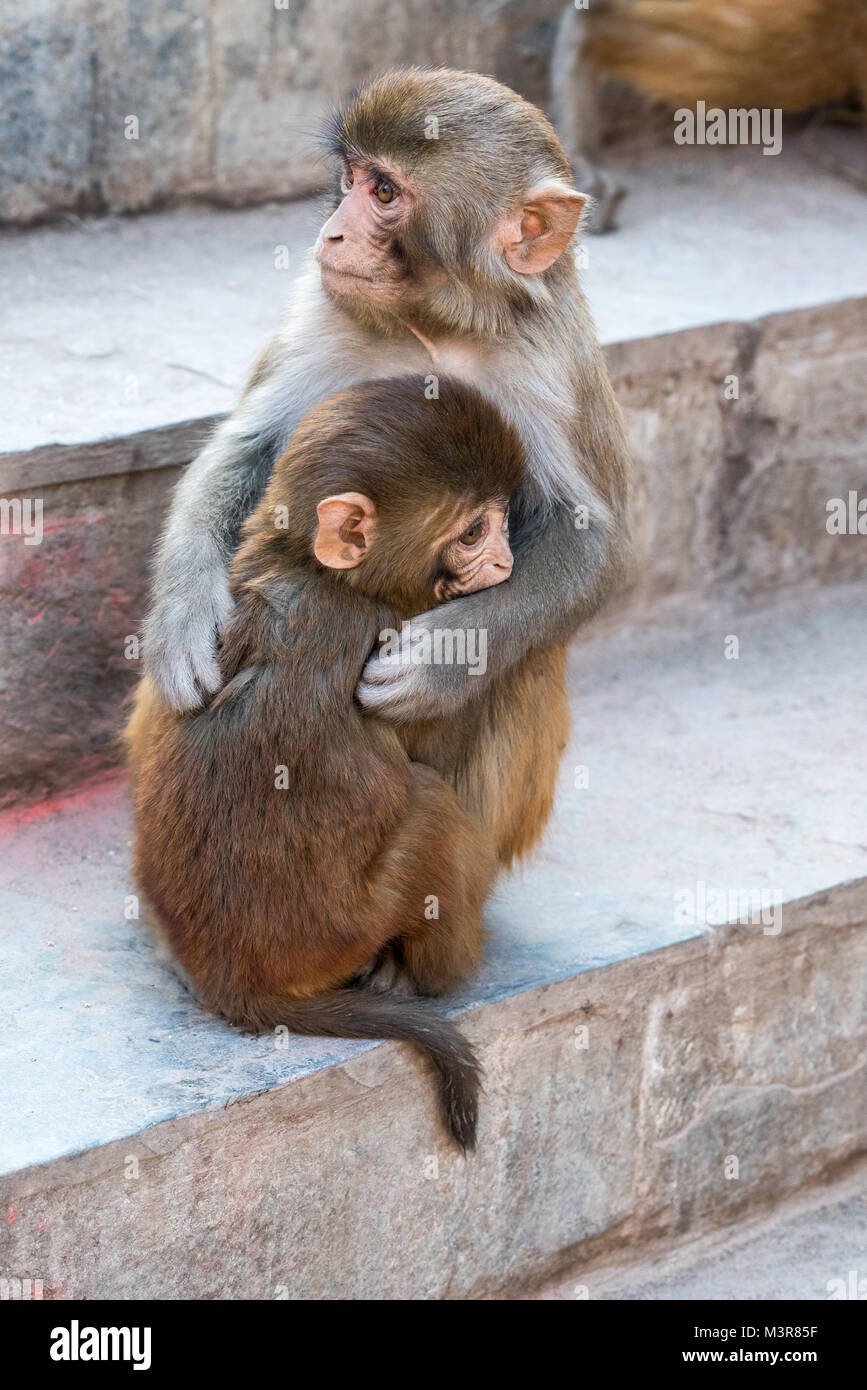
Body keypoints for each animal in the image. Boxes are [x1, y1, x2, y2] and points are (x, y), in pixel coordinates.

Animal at [127, 376, 525, 1151]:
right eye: (473, 532)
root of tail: (232, 980)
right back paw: (441, 973)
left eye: (498, 522)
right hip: (346, 932)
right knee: (430, 808)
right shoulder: (392, 632)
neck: (312, 572)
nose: (507, 561)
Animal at [139, 67, 631, 872]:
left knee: (529, 661)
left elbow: (593, 539)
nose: (331, 232)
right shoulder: (320, 313)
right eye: (350, 178)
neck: (434, 325)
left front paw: (447, 658)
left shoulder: (550, 364)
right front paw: (182, 617)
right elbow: (250, 447)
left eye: (386, 192)